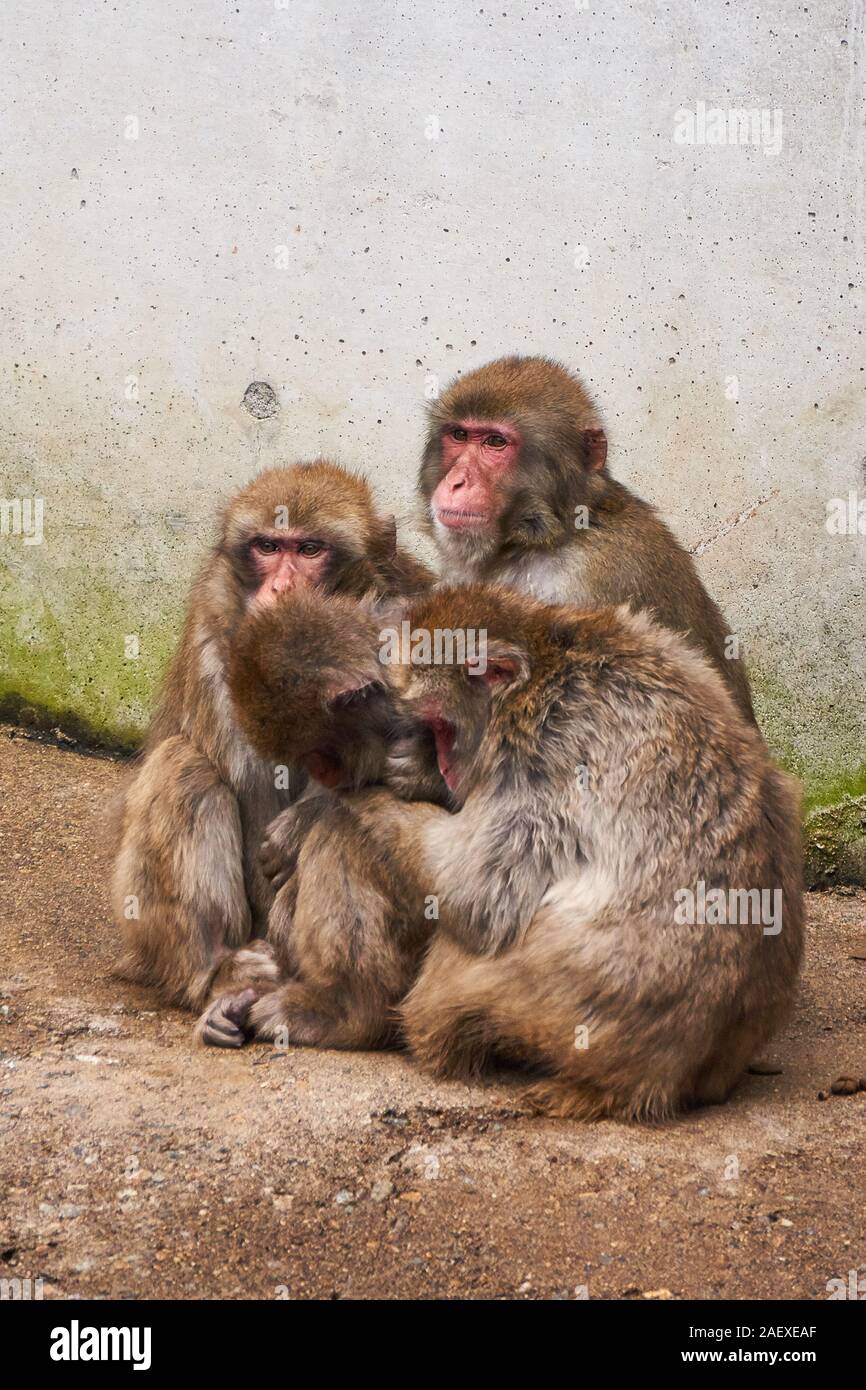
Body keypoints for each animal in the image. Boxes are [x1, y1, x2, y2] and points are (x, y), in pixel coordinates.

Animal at [112, 460, 433, 1014]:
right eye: (267, 546)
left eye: (309, 550)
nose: (281, 589)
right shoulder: (213, 622)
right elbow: (248, 776)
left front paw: (308, 817)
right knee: (185, 767)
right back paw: (216, 968)